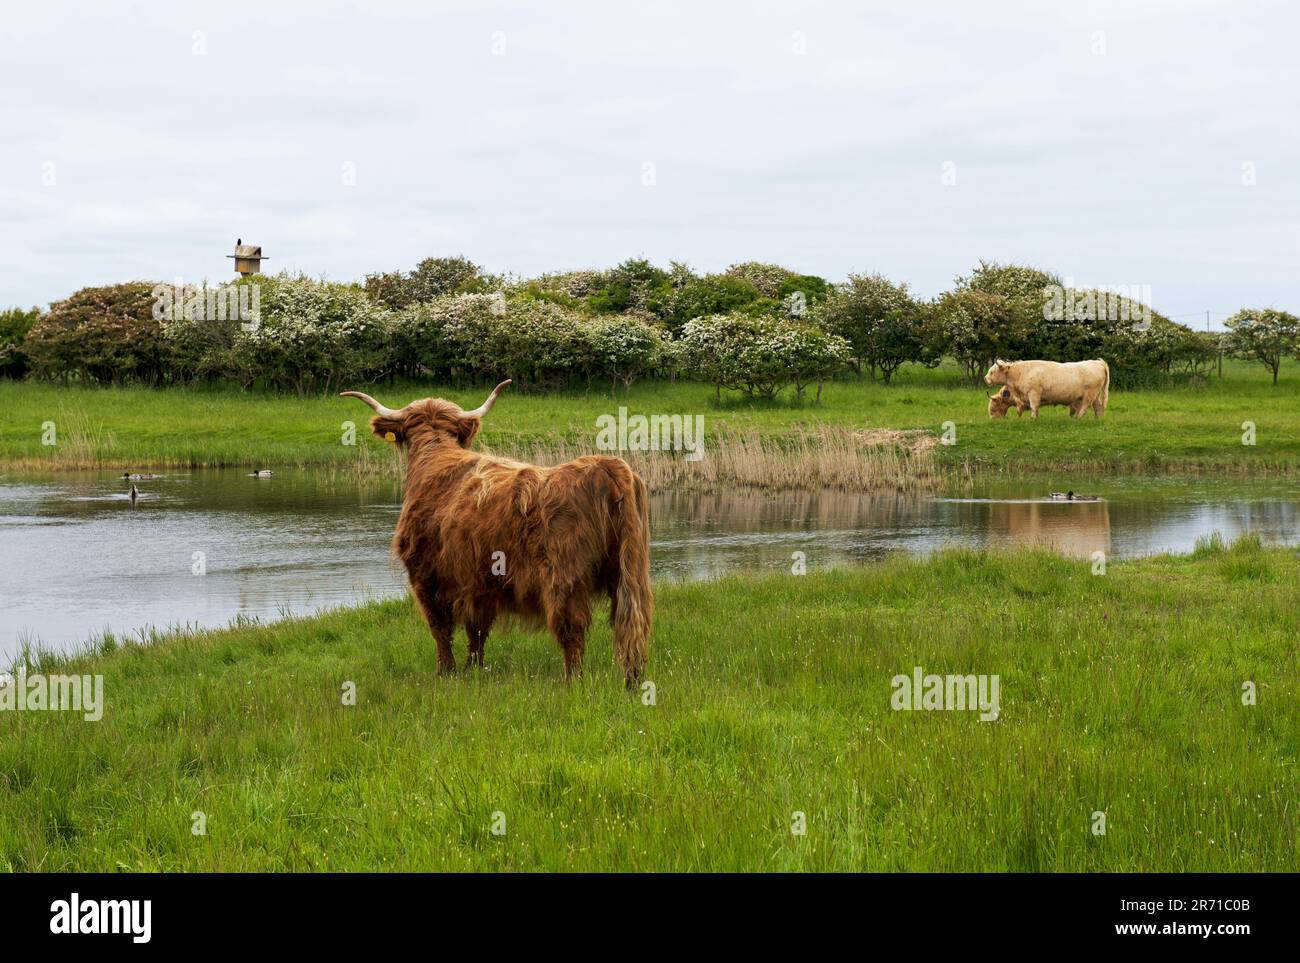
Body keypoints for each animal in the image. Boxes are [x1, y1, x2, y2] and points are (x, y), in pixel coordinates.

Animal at [340, 381, 653, 687]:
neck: (435, 459)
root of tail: (608, 466)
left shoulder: (424, 576)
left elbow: (440, 628)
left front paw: (446, 672)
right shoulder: (480, 582)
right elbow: (477, 630)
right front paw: (474, 670)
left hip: (564, 579)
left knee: (572, 629)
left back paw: (572, 682)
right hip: (632, 571)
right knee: (633, 622)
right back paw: (632, 680)